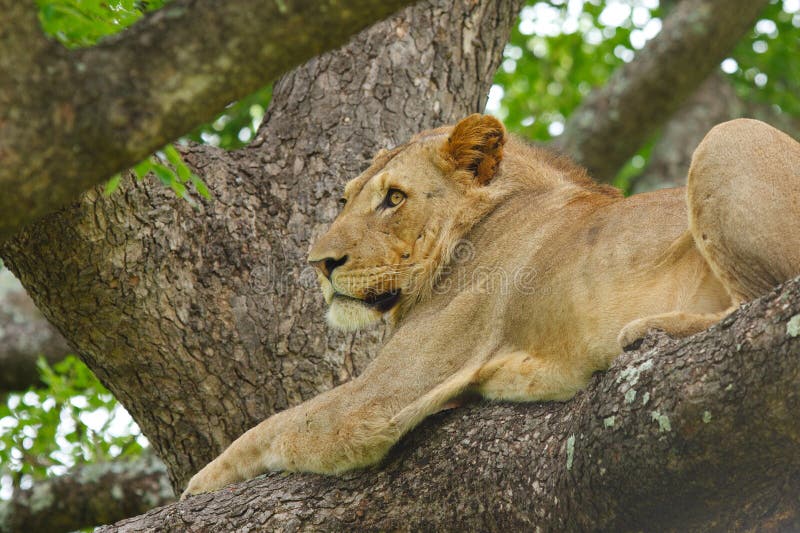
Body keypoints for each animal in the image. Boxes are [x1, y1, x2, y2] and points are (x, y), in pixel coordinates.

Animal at [183, 115, 800, 497]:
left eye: (394, 198)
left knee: (760, 299)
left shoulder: (379, 398)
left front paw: (191, 490)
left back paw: (650, 329)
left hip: (728, 136)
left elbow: (272, 428)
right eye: (346, 199)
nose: (320, 263)